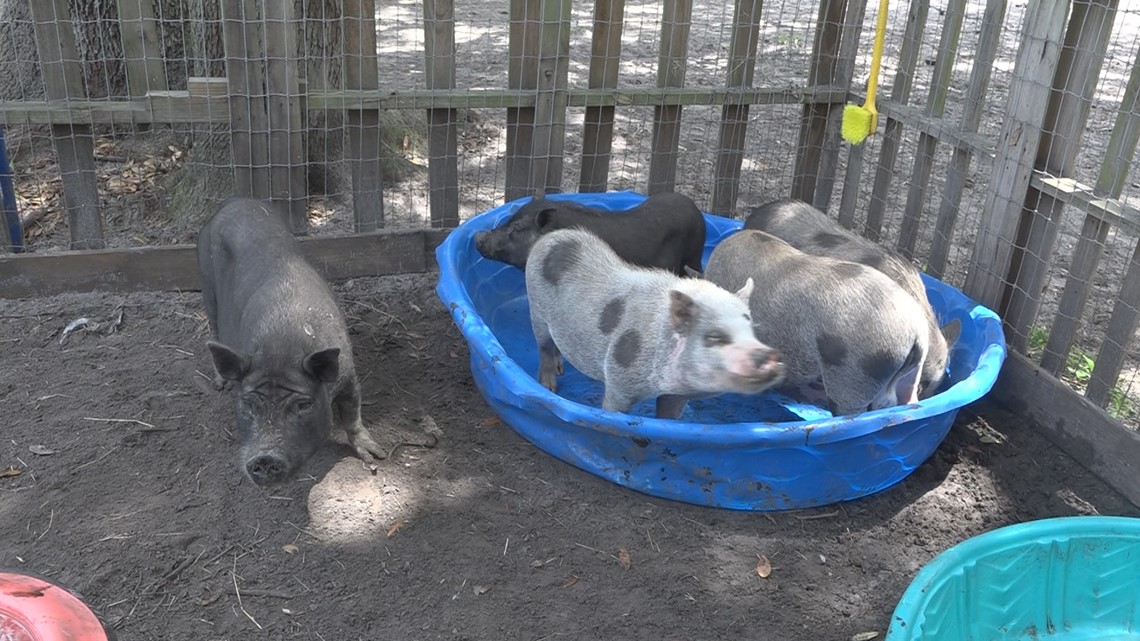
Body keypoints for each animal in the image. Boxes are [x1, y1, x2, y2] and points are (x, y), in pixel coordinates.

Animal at [197, 197, 386, 486]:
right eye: (248, 404)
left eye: (303, 405)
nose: (265, 458)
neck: (280, 349)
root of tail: (236, 201)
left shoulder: (348, 373)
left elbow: (352, 413)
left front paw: (376, 456)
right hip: (206, 283)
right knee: (213, 324)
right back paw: (220, 383)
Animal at [524, 228, 785, 419]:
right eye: (715, 337)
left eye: (751, 330)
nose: (769, 354)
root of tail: (550, 237)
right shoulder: (619, 379)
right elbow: (614, 411)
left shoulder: (675, 394)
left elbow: (668, 417)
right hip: (536, 308)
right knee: (544, 346)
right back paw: (549, 386)